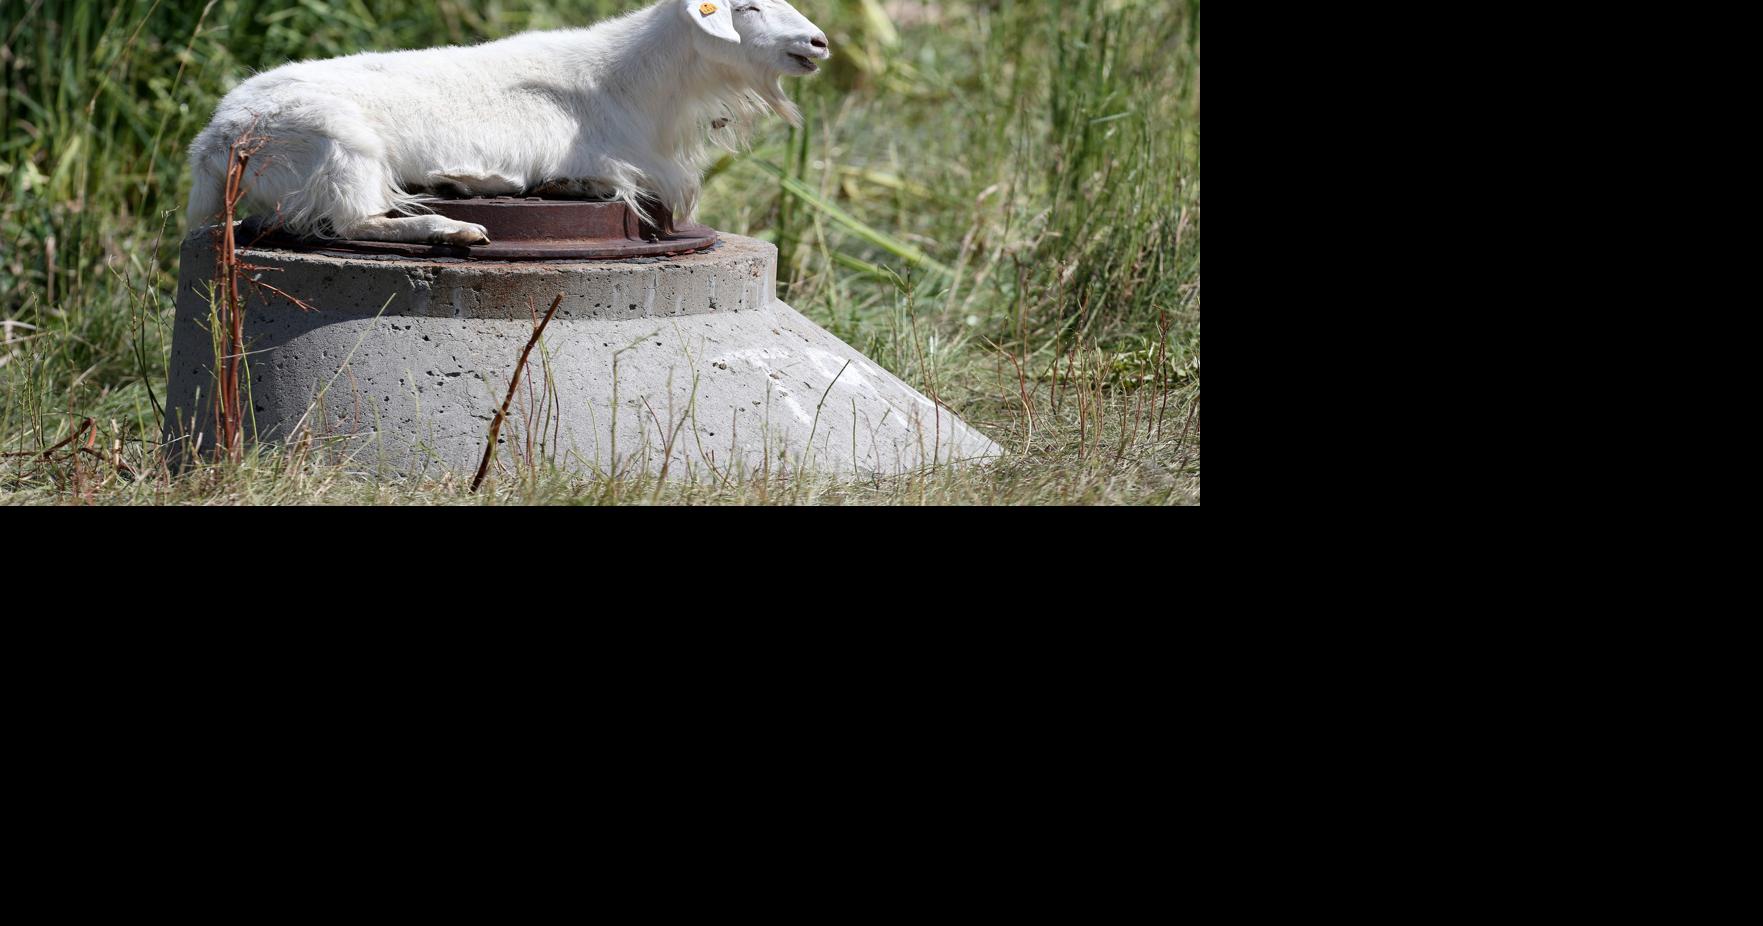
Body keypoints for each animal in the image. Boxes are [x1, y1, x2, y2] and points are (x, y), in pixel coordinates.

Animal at [186, 0, 830, 244]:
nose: (818, 42)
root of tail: (211, 142)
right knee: (352, 224)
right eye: (746, 6)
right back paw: (452, 227)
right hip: (339, 148)